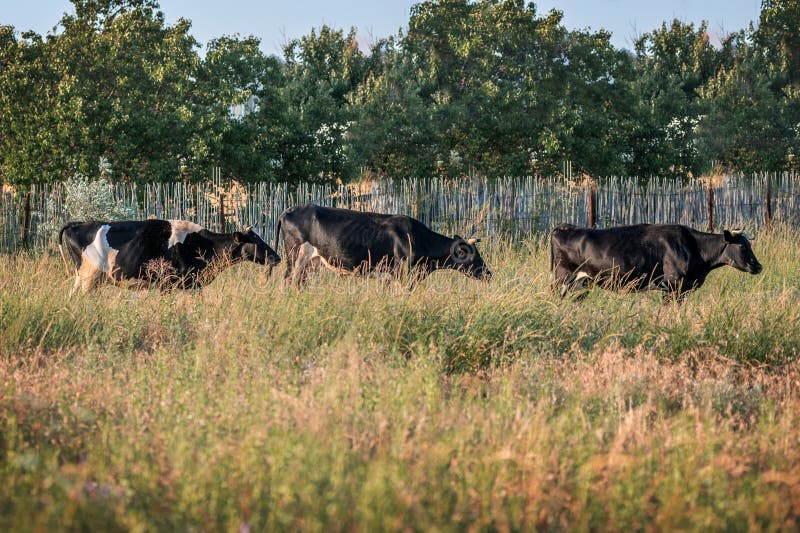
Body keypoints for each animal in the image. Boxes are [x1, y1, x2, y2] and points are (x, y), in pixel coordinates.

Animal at [59, 219, 280, 293]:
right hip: (88, 277)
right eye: (256, 241)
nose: (277, 257)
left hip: (88, 279)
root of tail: (77, 223)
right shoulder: (167, 284)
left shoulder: (192, 285)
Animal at [274, 204, 491, 286]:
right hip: (295, 257)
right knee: (288, 281)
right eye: (473, 256)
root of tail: (289, 210)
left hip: (312, 262)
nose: (489, 274)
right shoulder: (403, 274)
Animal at [550, 223, 762, 301]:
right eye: (742, 246)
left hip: (582, 283)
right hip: (562, 279)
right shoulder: (673, 287)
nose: (758, 266)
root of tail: (565, 227)